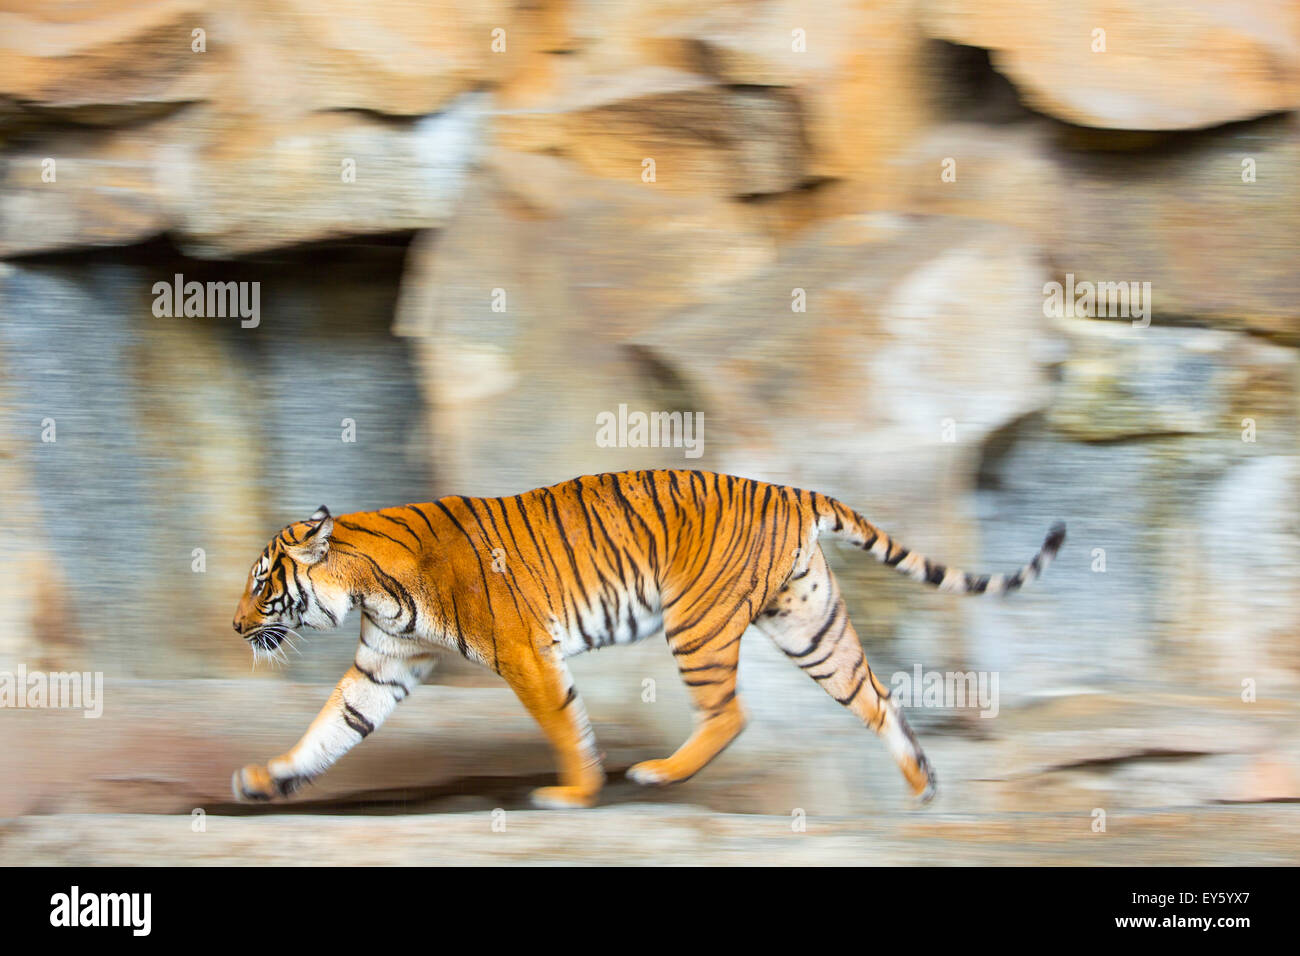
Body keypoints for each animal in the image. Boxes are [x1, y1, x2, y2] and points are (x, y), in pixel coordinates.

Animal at [231, 469, 1064, 808]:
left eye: (262, 583)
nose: (236, 627)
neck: (368, 587)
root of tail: (789, 490)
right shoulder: (387, 664)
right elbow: (330, 729)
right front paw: (267, 779)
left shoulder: (525, 653)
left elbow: (566, 726)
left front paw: (573, 794)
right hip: (810, 623)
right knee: (876, 693)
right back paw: (922, 784)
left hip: (698, 621)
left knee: (731, 713)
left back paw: (659, 774)